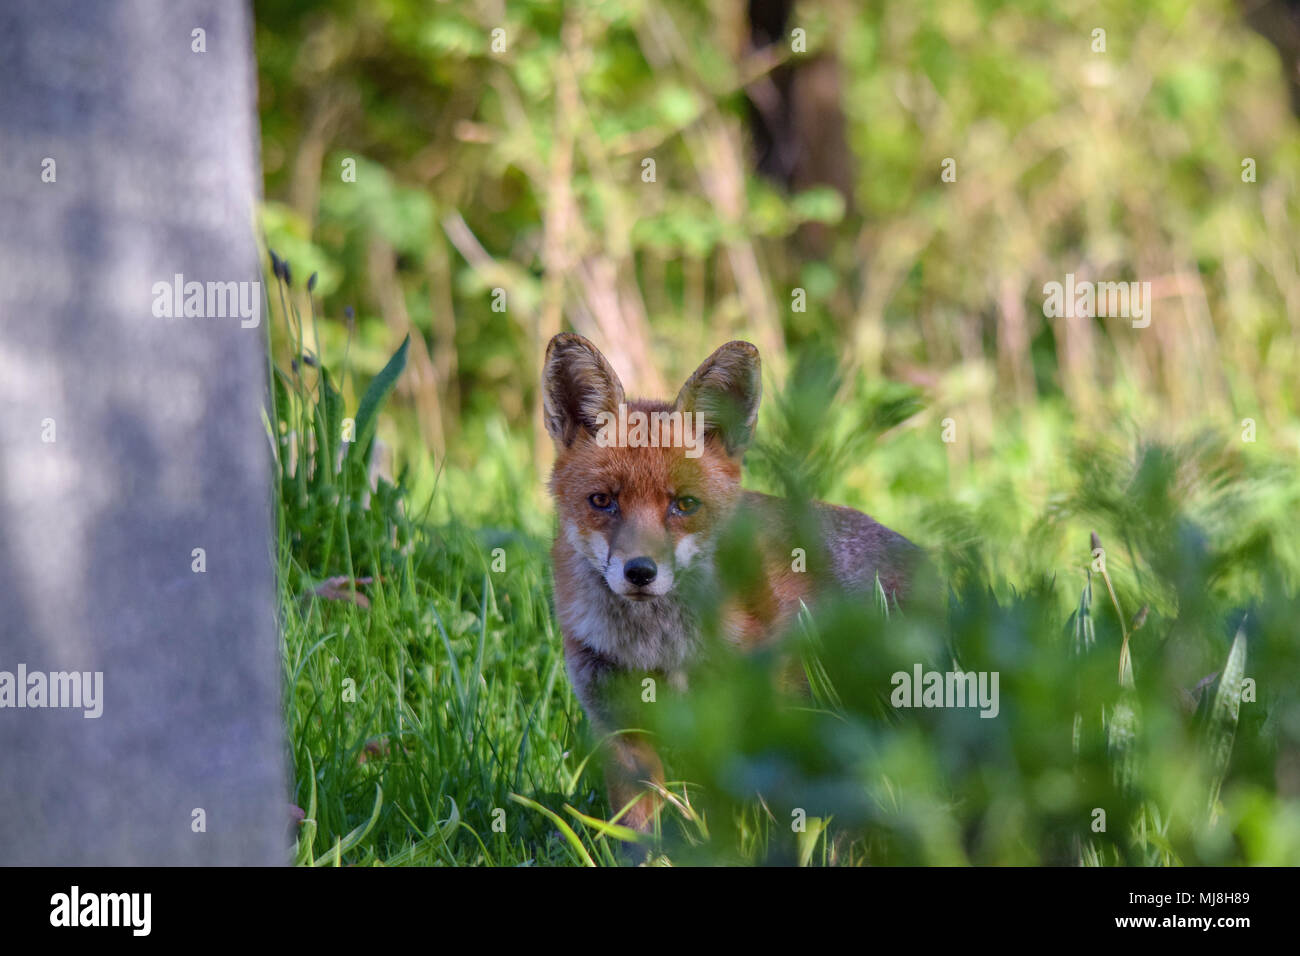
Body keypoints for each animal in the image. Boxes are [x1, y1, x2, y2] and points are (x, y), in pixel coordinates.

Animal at [542, 332, 919, 833]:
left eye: (684, 504)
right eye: (602, 501)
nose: (640, 572)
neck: (656, 649)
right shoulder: (619, 726)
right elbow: (637, 828)